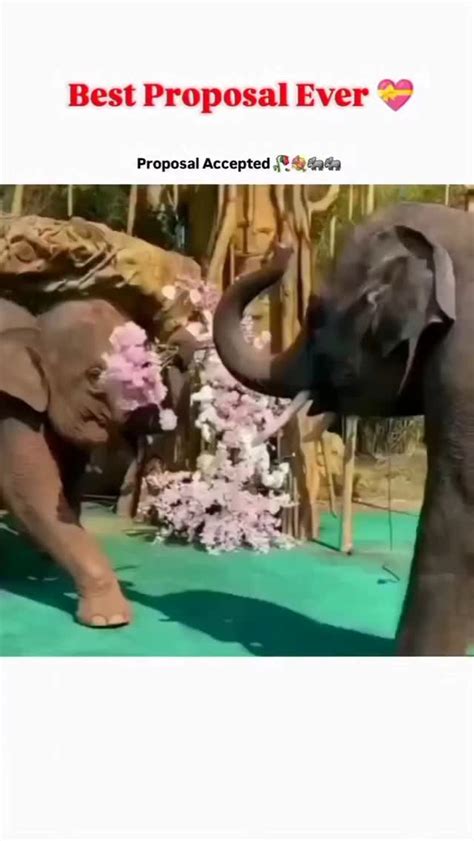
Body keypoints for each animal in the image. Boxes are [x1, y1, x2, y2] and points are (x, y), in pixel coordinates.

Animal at [0, 297, 206, 628]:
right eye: (95, 374)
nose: (180, 349)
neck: (34, 329)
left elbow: (63, 495)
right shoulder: (10, 409)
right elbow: (34, 494)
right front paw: (109, 620)